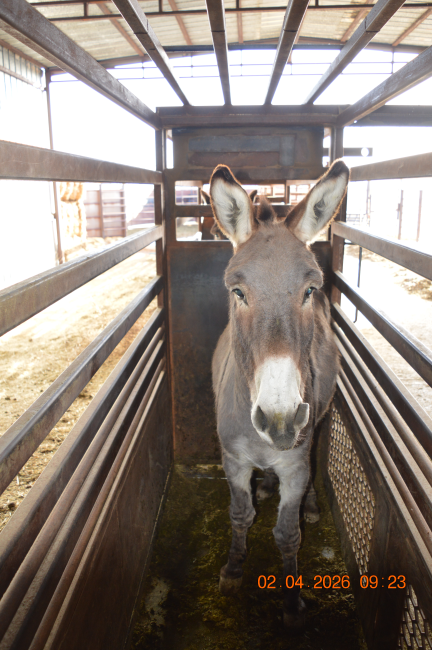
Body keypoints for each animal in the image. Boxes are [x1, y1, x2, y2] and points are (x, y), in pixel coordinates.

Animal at [209, 159, 349, 627]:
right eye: (237, 291)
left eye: (309, 290)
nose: (281, 419)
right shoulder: (233, 461)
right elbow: (240, 515)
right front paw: (234, 570)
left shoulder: (294, 466)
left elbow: (288, 535)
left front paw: (290, 601)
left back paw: (310, 506)